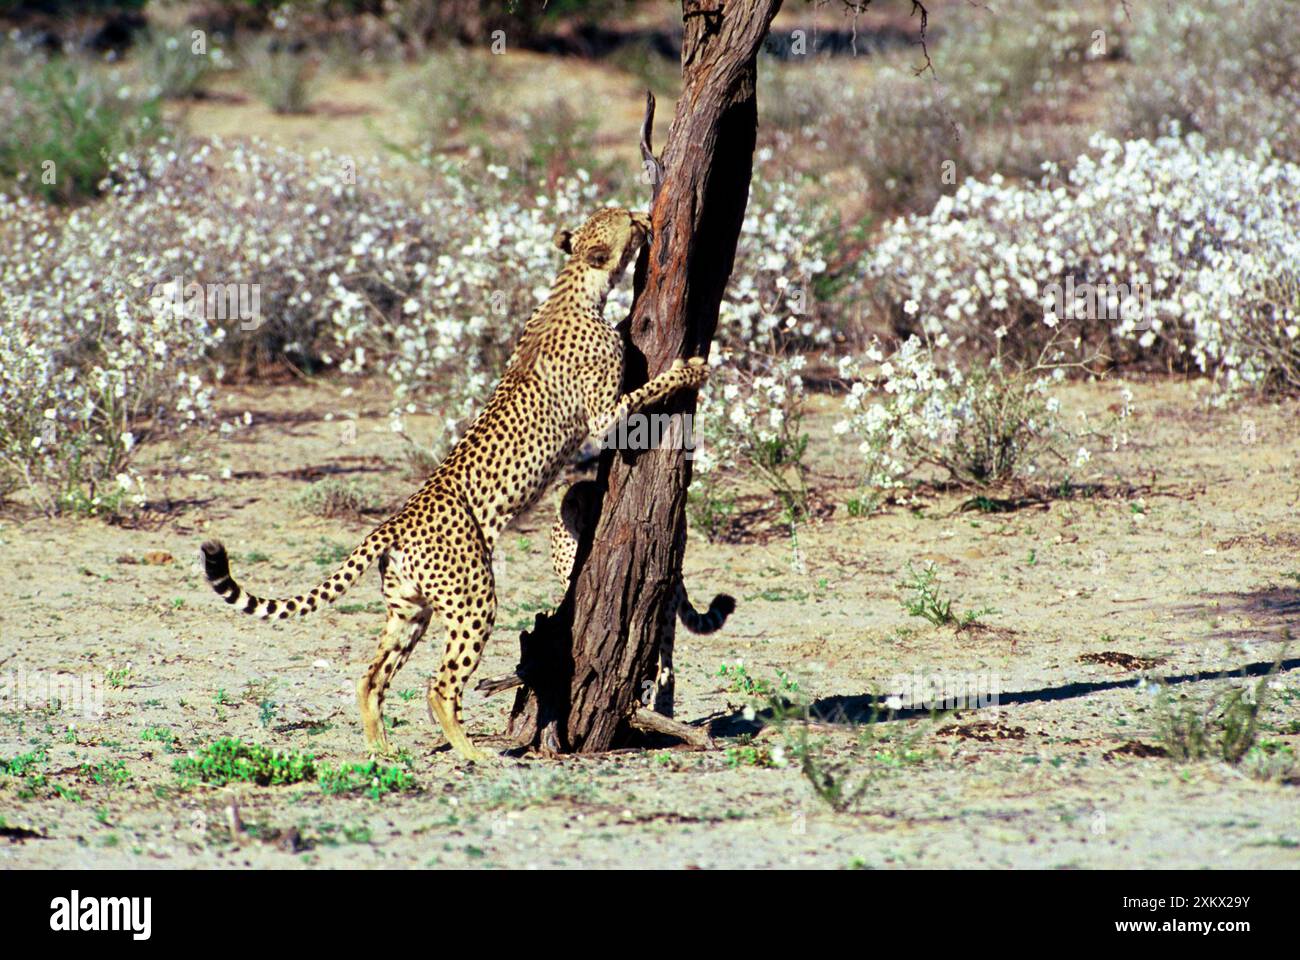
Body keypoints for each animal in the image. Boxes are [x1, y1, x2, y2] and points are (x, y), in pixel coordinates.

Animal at [200, 207, 734, 762]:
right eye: (624, 219)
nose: (644, 216)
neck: (573, 285)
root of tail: (395, 520)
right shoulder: (604, 416)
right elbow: (647, 391)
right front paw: (690, 368)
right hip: (473, 595)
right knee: (440, 685)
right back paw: (473, 751)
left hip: (409, 608)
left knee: (371, 677)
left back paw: (382, 749)